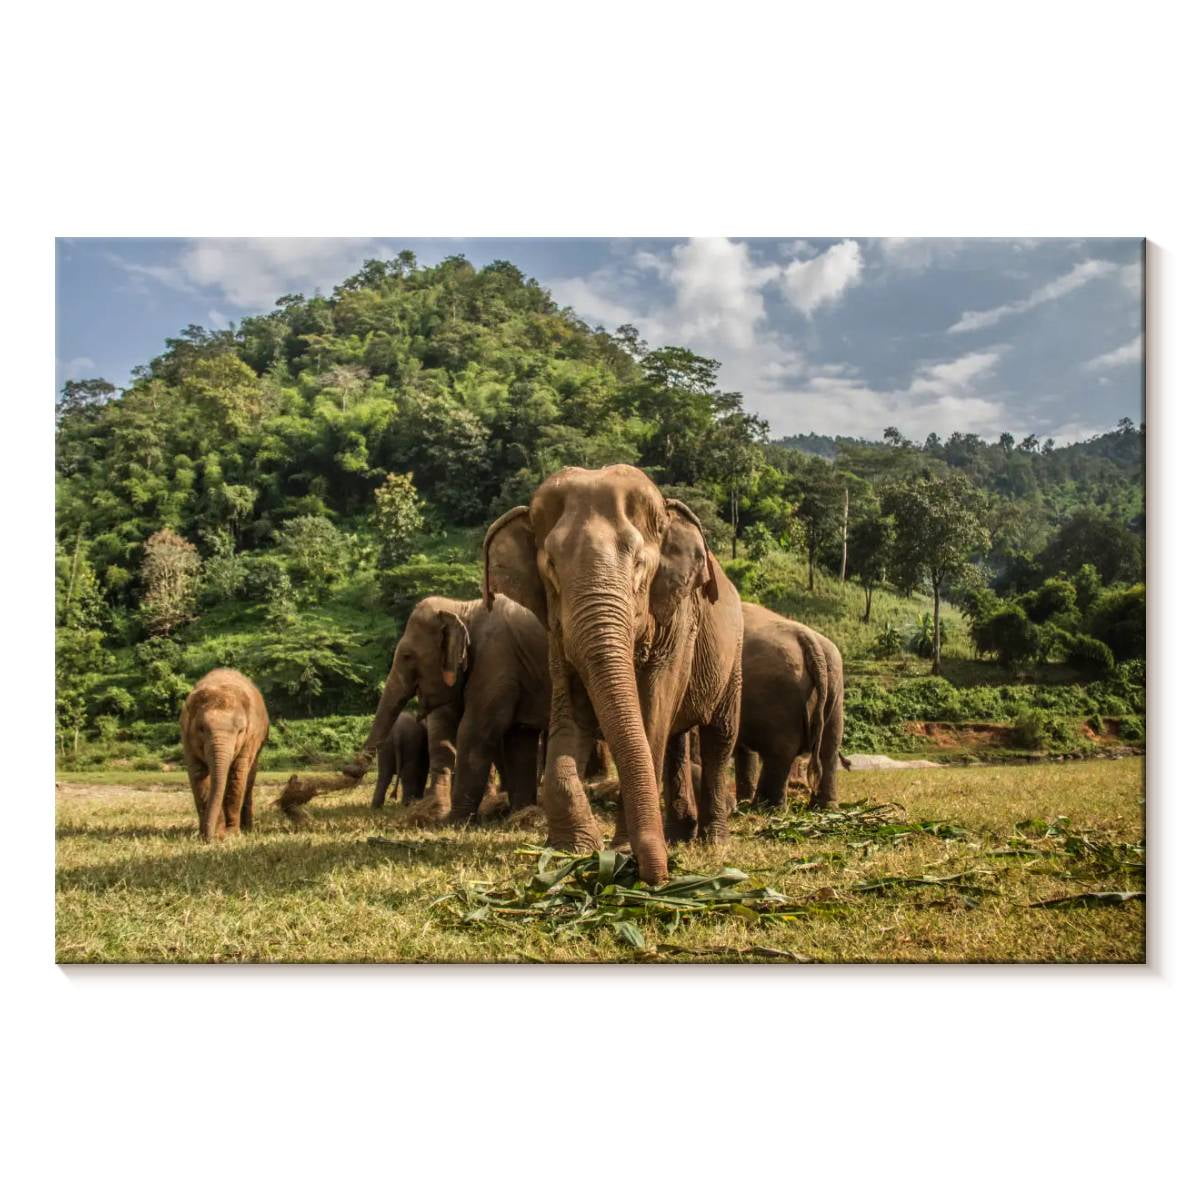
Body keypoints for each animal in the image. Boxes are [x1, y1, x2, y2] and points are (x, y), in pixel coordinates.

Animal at [180, 668, 270, 841]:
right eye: (201, 729)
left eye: (241, 731)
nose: (208, 838)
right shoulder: (187, 739)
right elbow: (199, 775)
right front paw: (216, 834)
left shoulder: (250, 739)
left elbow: (237, 775)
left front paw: (231, 834)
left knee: (249, 777)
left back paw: (248, 829)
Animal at [340, 593, 550, 822]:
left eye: (407, 656)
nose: (349, 769)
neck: (463, 607)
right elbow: (518, 737)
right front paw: (520, 815)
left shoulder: (496, 662)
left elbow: (474, 732)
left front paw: (453, 822)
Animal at [484, 464, 743, 885]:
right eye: (551, 566)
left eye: (639, 563)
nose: (658, 876)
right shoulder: (558, 633)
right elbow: (571, 711)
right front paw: (571, 851)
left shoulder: (677, 621)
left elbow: (652, 711)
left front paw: (620, 850)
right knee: (676, 740)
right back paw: (679, 835)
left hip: (733, 654)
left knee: (719, 736)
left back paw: (713, 841)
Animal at [734, 602, 845, 809]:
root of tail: (810, 642)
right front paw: (742, 801)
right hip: (835, 688)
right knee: (829, 746)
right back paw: (824, 806)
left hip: (779, 693)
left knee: (781, 750)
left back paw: (766, 807)